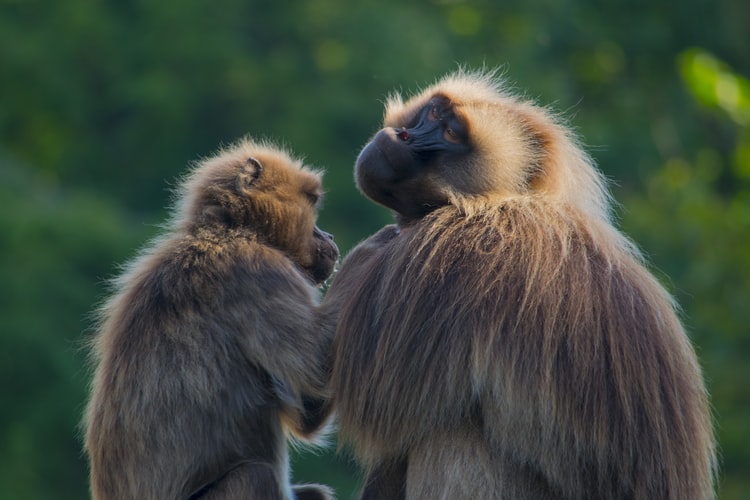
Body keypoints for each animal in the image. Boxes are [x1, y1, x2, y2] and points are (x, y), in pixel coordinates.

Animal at [83, 138, 339, 500]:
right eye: (312, 201)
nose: (328, 236)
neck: (232, 231)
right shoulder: (260, 271)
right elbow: (312, 394)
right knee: (255, 476)